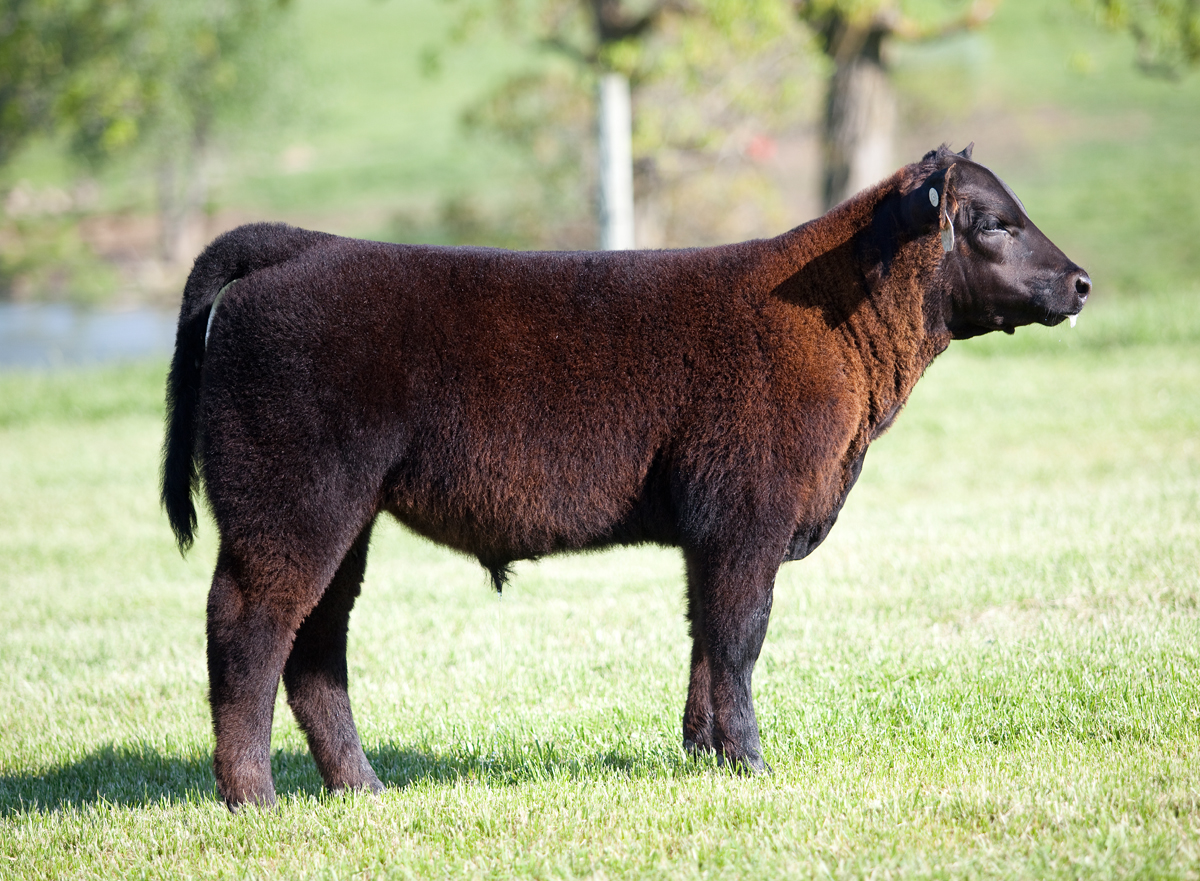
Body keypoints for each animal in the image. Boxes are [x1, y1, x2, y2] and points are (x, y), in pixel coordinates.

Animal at [162, 144, 1090, 809]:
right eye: (993, 221)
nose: (1081, 281)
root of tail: (303, 247)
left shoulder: (711, 534)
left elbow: (704, 636)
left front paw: (703, 754)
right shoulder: (749, 517)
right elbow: (739, 637)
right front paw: (749, 760)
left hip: (344, 517)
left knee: (317, 644)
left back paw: (361, 786)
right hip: (291, 508)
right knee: (249, 630)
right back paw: (253, 797)